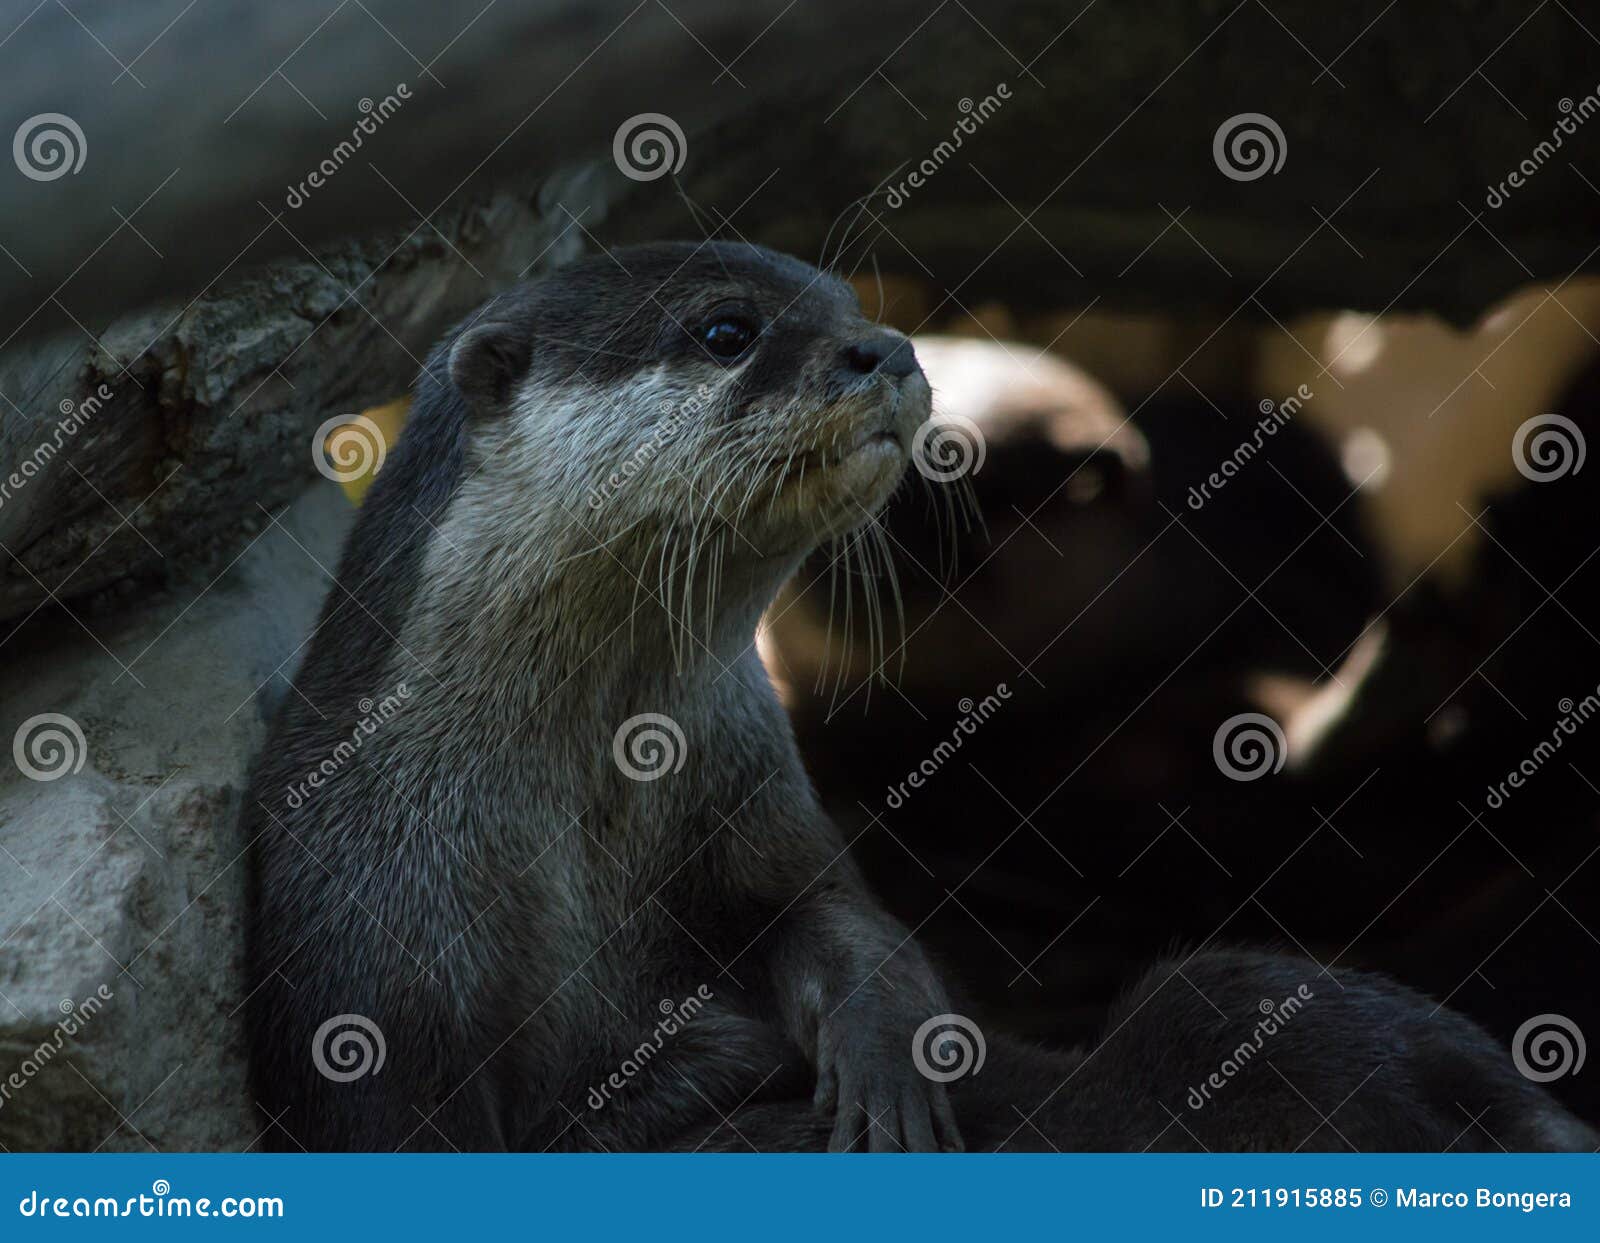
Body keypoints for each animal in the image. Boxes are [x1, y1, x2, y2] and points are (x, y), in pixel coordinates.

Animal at [243, 241, 1594, 1152]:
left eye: (849, 304)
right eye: (726, 330)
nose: (886, 349)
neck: (577, 807)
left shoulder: (757, 794)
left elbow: (840, 916)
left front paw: (888, 1065)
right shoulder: (355, 926)